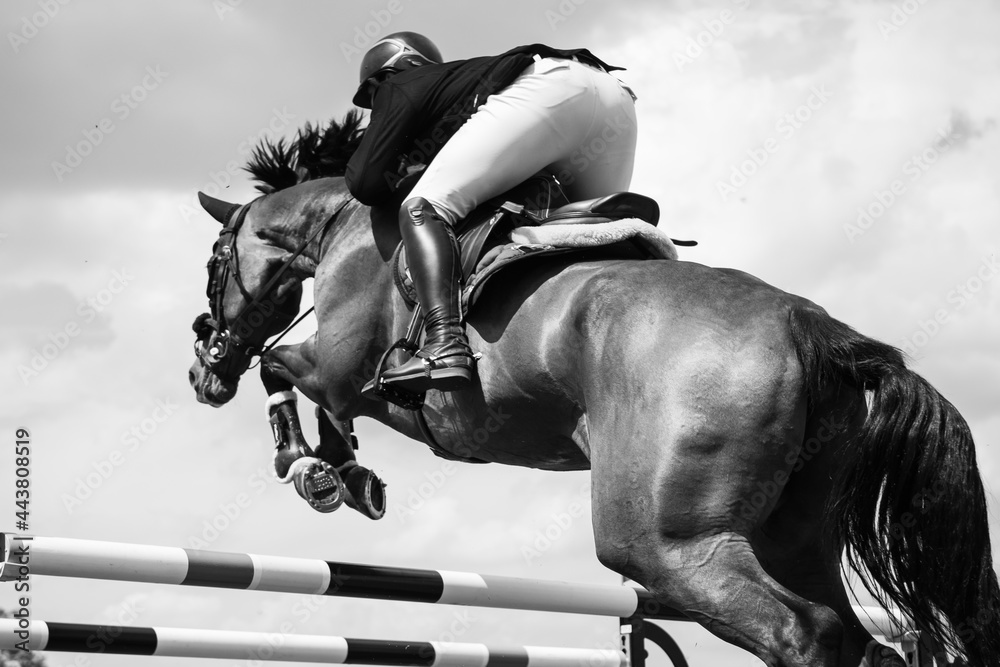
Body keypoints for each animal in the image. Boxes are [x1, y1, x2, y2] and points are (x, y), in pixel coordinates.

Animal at [186, 131, 999, 667]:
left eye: (214, 263)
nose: (204, 373)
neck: (346, 225)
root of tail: (813, 327)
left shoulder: (343, 369)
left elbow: (282, 368)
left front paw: (313, 469)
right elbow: (305, 390)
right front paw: (345, 472)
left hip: (663, 542)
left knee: (805, 631)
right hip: (790, 534)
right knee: (850, 631)